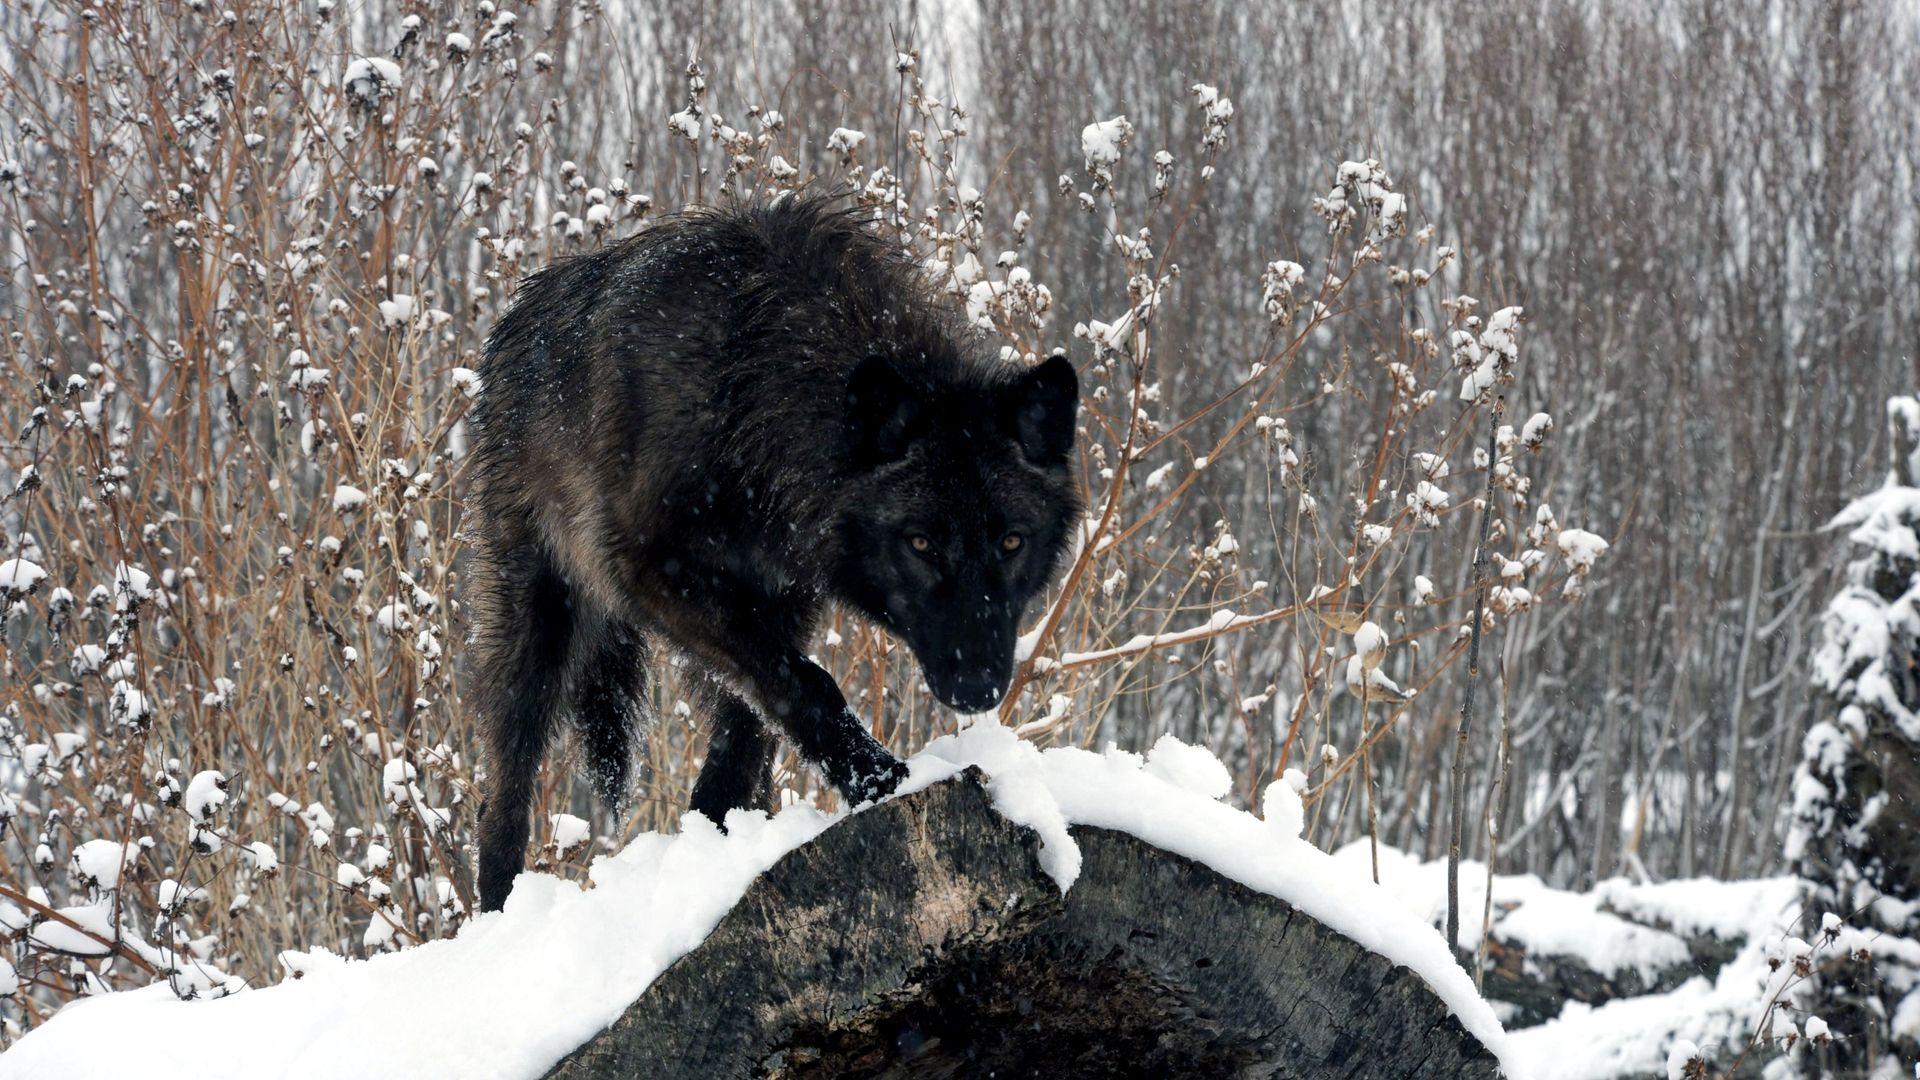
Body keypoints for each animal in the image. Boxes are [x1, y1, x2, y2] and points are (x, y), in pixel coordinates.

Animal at [465, 196, 1080, 911]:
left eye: (1011, 542)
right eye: (921, 543)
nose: (977, 685)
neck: (753, 382)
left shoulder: (781, 602)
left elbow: (754, 728)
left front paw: (722, 846)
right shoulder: (654, 575)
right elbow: (805, 684)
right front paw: (879, 779)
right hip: (539, 629)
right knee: (504, 790)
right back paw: (499, 913)